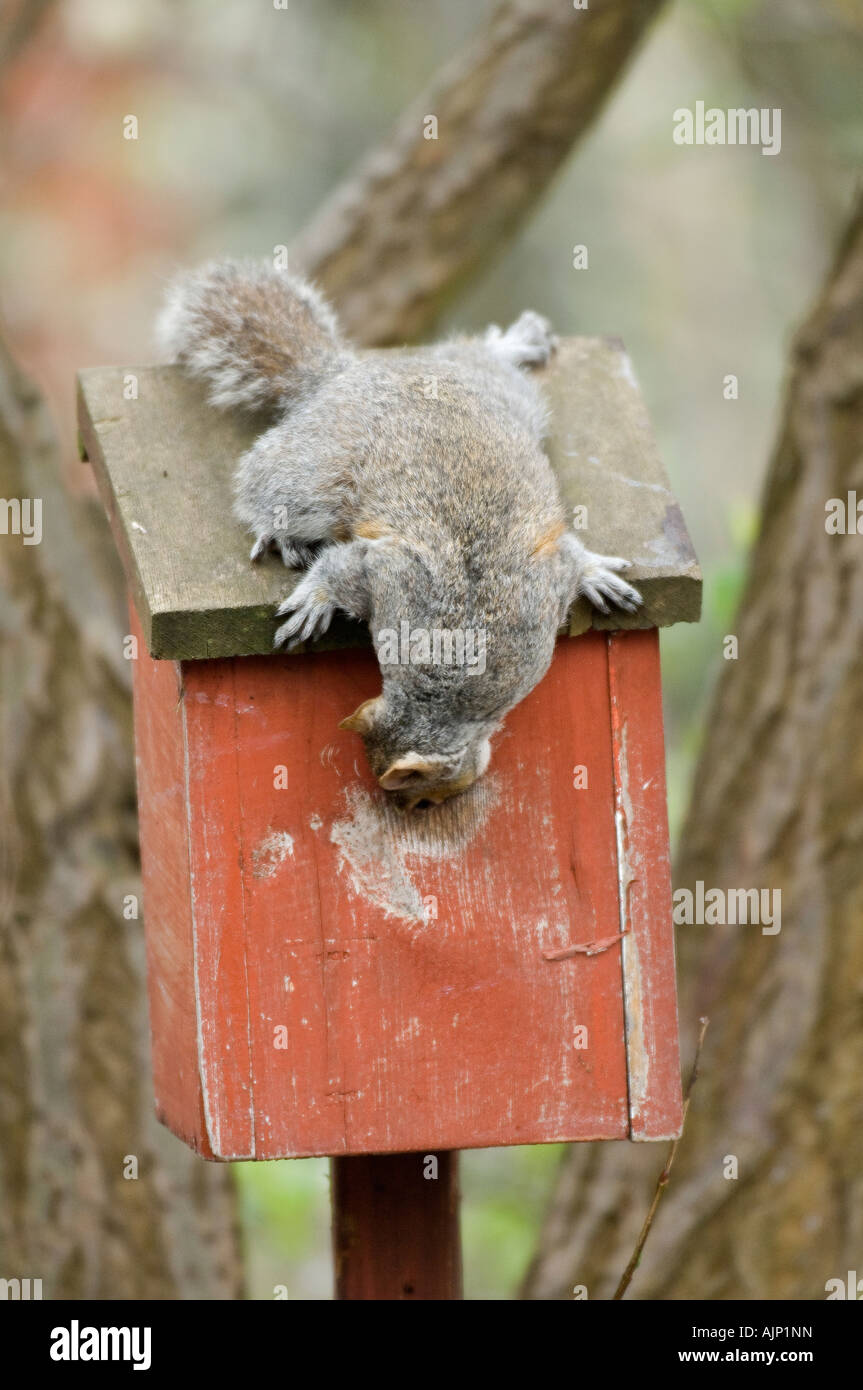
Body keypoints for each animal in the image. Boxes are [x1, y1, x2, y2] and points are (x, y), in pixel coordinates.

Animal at [157, 259, 641, 810]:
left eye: (424, 797)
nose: (415, 815)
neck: (449, 694)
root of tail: (347, 373)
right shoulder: (391, 577)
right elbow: (340, 568)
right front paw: (315, 601)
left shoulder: (533, 583)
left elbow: (570, 557)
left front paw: (597, 573)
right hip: (318, 475)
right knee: (266, 484)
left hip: (488, 401)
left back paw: (515, 342)